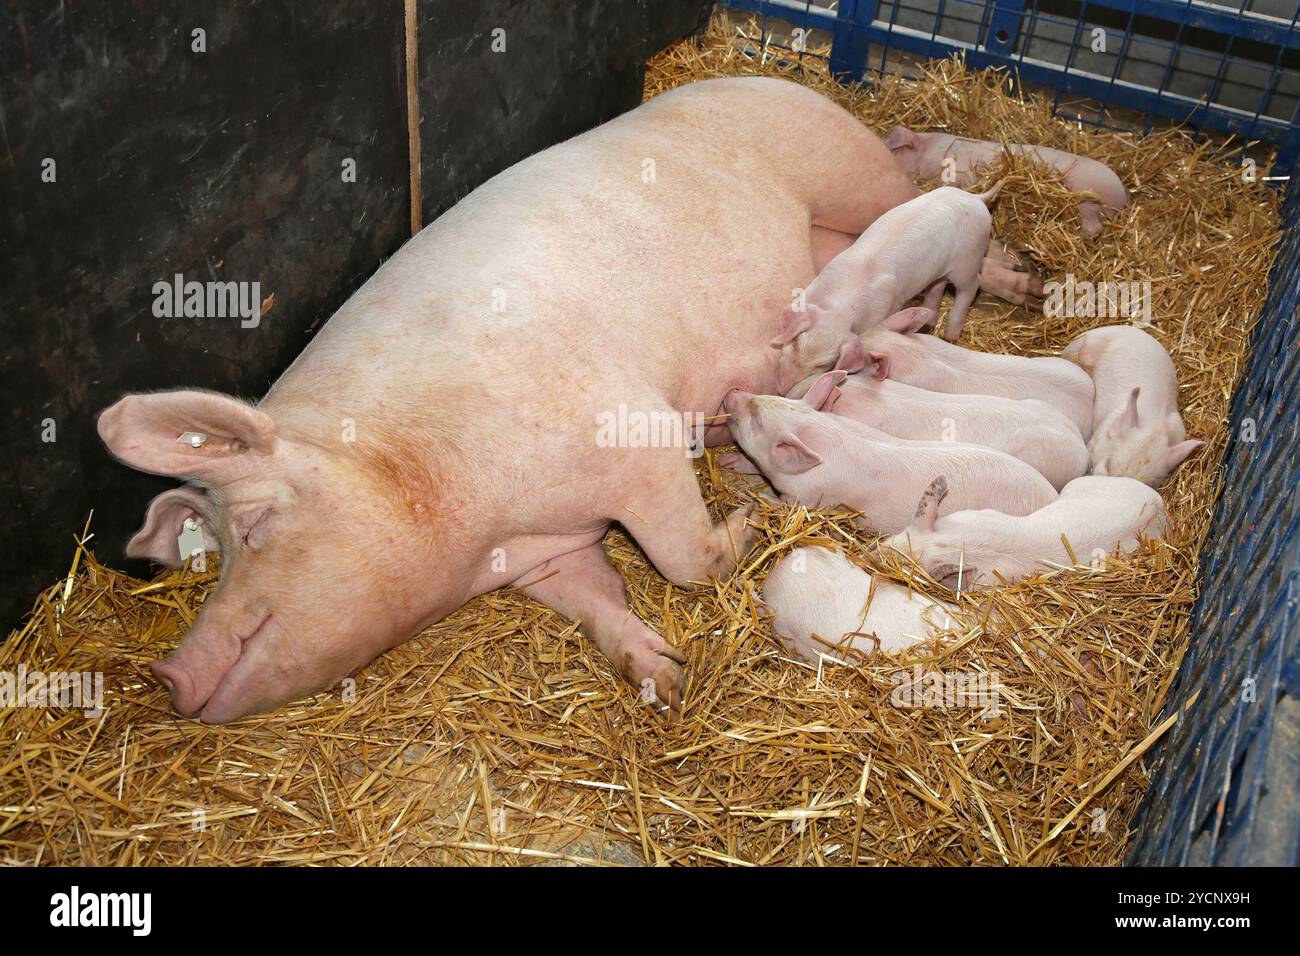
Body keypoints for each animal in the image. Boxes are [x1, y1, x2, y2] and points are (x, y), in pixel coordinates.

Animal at [723, 370, 1058, 533]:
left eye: (758, 419)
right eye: (770, 398)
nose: (731, 392)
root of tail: (1050, 496)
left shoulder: (807, 499)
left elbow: (780, 503)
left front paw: (755, 494)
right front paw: (732, 461)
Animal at [770, 181, 1004, 381]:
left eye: (823, 365)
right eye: (796, 343)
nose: (781, 387)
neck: (843, 307)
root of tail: (975, 198)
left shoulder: (887, 309)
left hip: (968, 260)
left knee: (971, 286)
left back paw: (951, 336)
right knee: (937, 286)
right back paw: (928, 325)